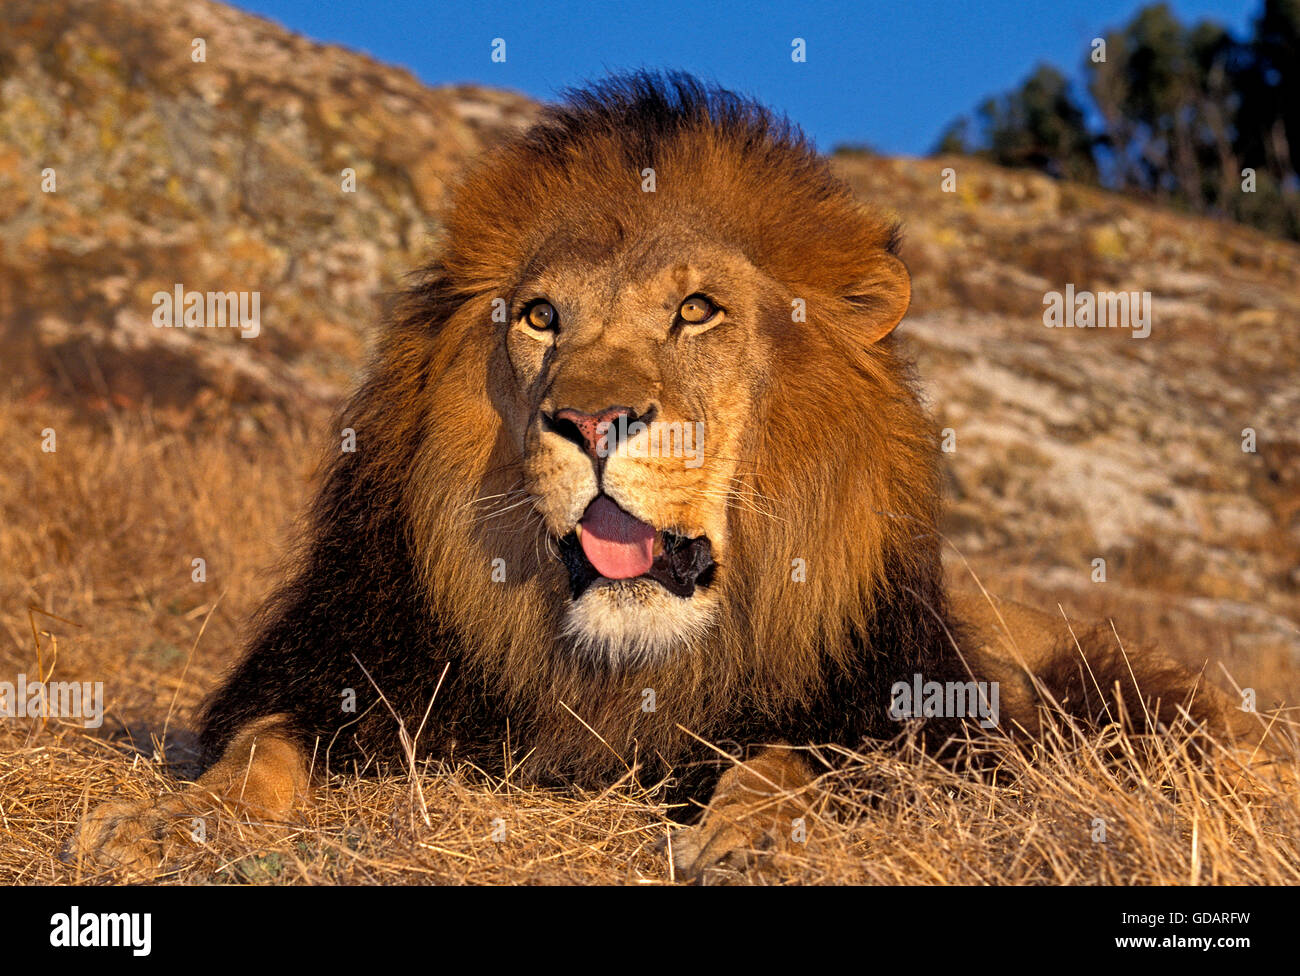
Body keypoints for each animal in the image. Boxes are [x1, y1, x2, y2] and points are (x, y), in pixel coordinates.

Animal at [75, 73, 1288, 881]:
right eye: (540, 317)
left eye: (696, 310)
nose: (590, 418)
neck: (628, 673)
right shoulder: (345, 675)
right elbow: (260, 746)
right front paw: (166, 824)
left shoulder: (925, 722)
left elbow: (812, 761)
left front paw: (749, 834)